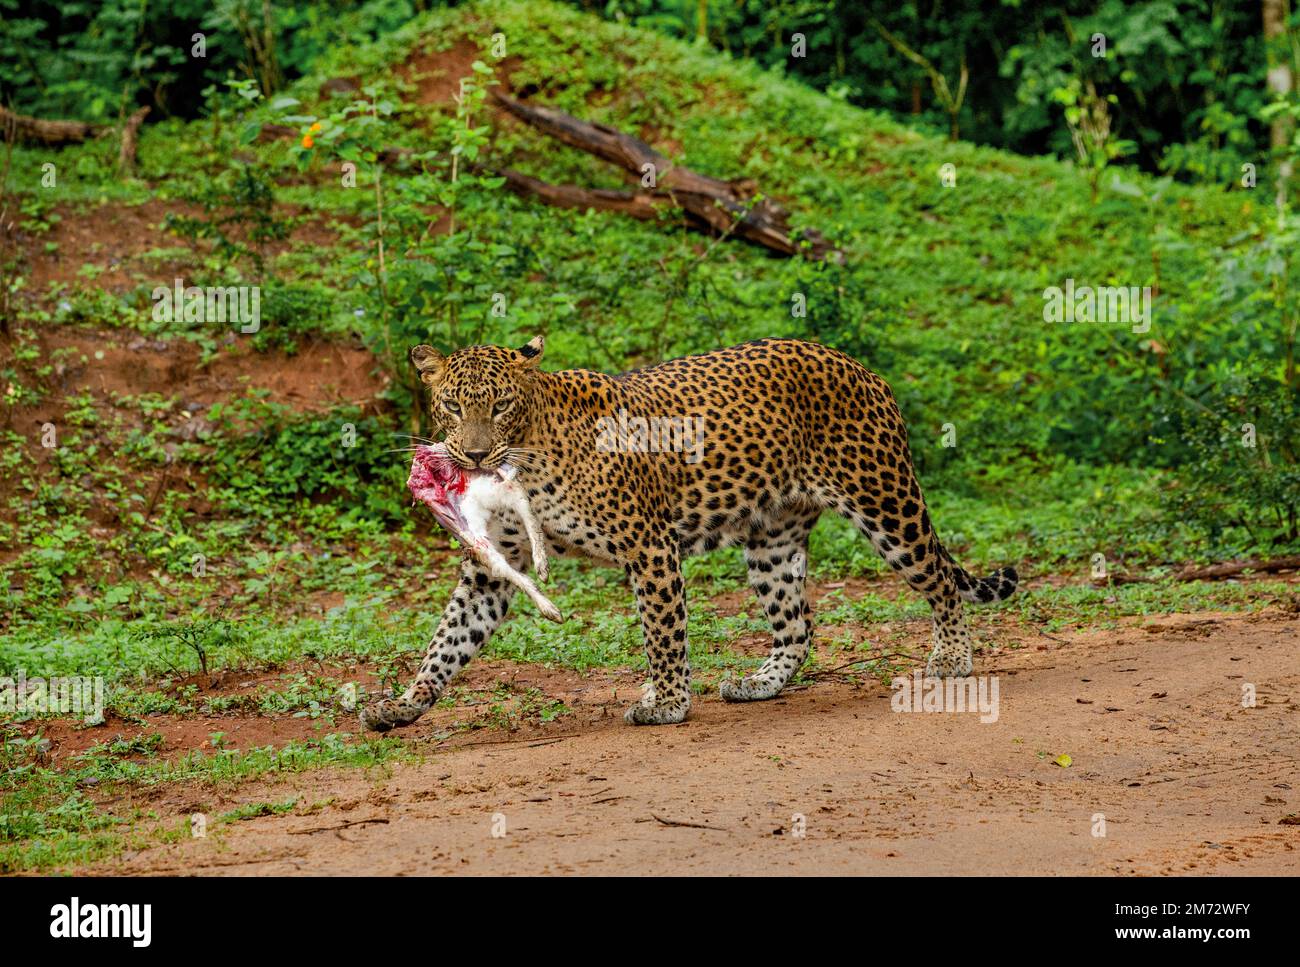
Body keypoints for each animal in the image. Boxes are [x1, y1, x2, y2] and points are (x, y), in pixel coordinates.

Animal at [360, 335, 1017, 731]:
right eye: (451, 405)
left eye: (499, 406)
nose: (472, 456)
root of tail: (858, 364)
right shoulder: (492, 569)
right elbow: (448, 639)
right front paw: (405, 705)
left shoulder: (648, 545)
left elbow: (663, 633)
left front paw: (668, 703)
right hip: (773, 538)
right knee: (798, 626)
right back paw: (759, 684)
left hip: (884, 503)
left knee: (941, 581)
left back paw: (952, 659)